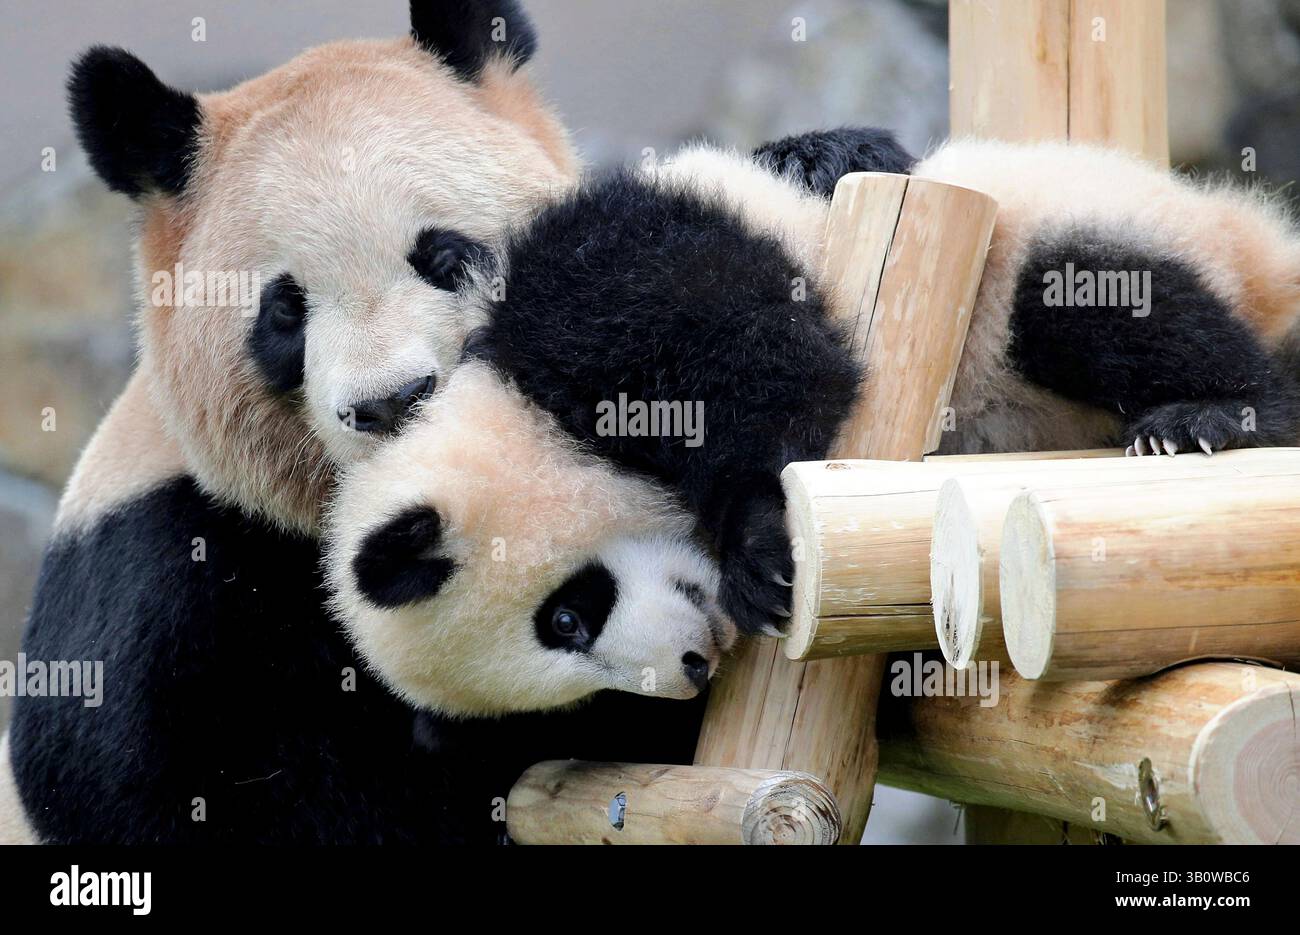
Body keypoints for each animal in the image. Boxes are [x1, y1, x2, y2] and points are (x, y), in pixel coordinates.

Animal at [327, 130, 1300, 716]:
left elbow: (763, 363)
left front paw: (759, 545)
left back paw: (1211, 412)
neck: (507, 397)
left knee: (1093, 299)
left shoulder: (600, 284)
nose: (688, 670)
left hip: (1074, 230)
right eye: (571, 673)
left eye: (566, 615)